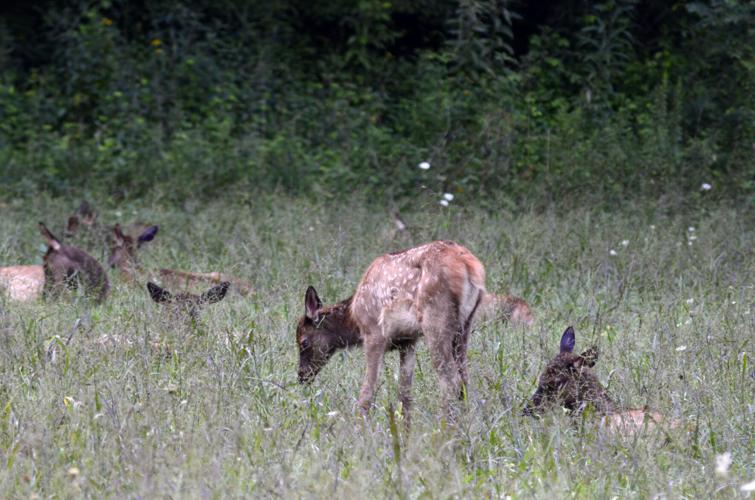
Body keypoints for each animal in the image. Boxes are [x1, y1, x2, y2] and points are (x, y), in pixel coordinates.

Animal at [295, 240, 532, 425]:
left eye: (303, 341)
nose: (301, 376)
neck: (354, 316)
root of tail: (470, 267)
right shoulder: (407, 340)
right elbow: (405, 393)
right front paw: (405, 433)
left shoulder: (374, 333)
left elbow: (367, 391)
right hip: (465, 327)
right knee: (464, 380)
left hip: (435, 320)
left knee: (450, 381)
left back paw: (446, 431)